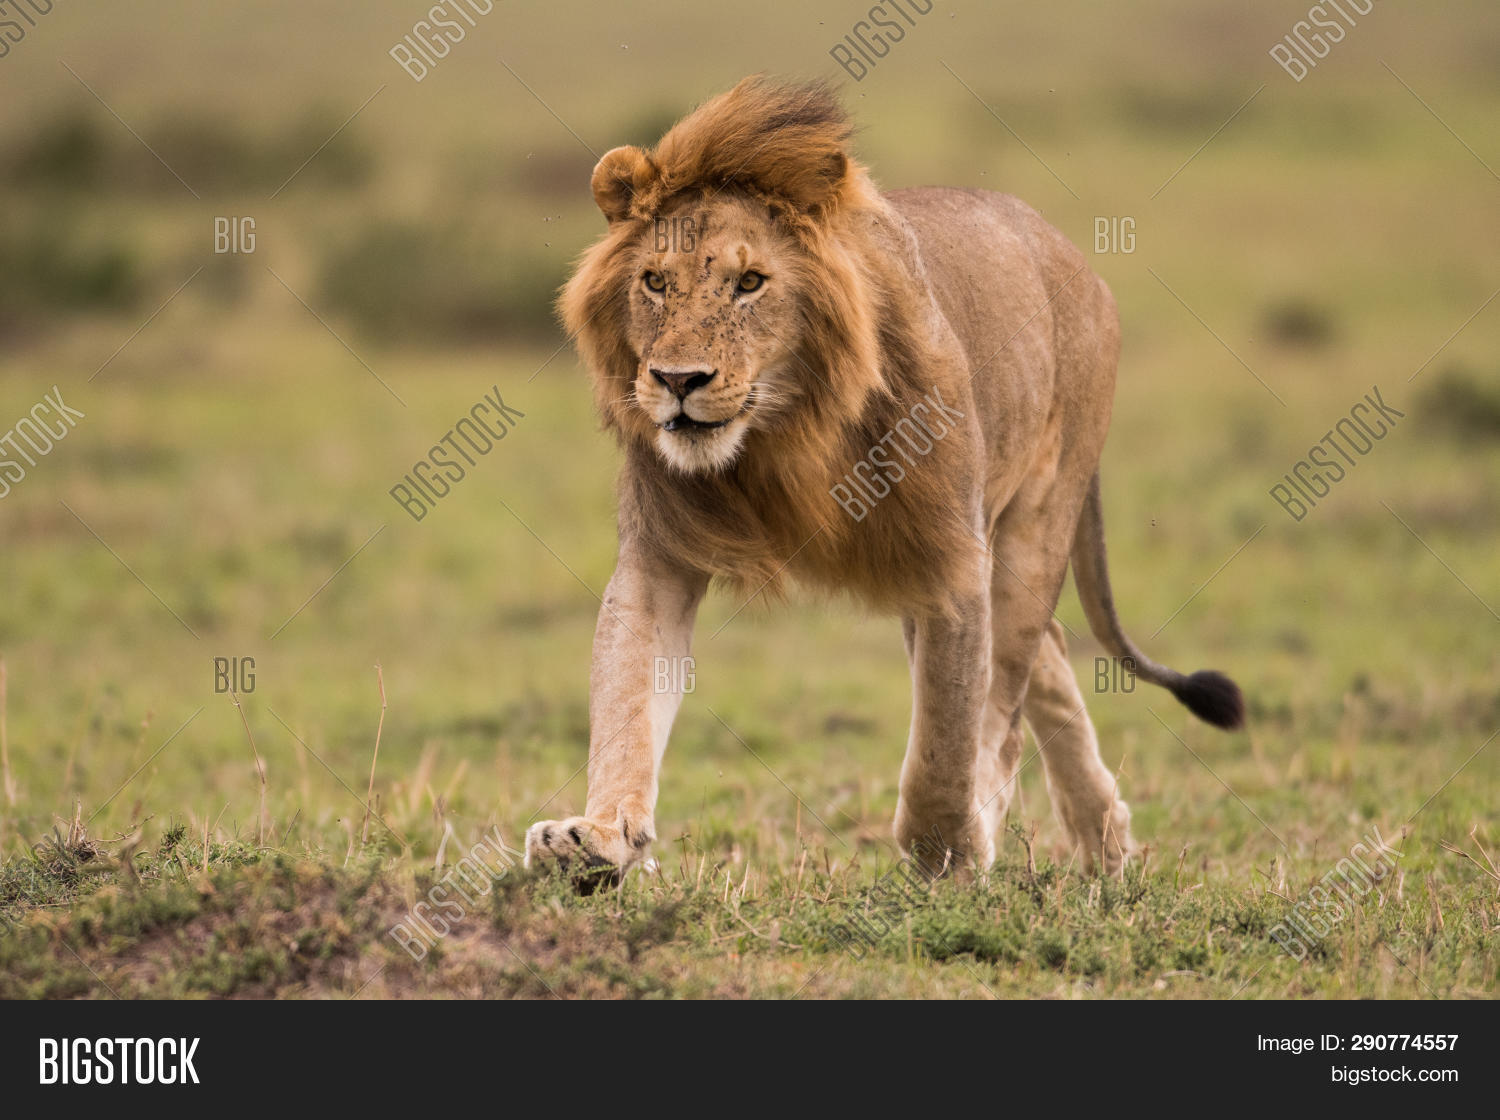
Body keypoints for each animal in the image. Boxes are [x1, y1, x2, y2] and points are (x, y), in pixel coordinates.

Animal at [526, 77, 1244, 889]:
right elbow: (627, 703)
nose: (678, 381)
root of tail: (1068, 250)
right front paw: (596, 838)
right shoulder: (662, 556)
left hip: (1034, 523)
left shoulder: (951, 560)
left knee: (1011, 687)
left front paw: (948, 855)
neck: (783, 434)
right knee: (1048, 657)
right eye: (654, 283)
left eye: (749, 284)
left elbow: (945, 738)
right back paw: (1107, 842)